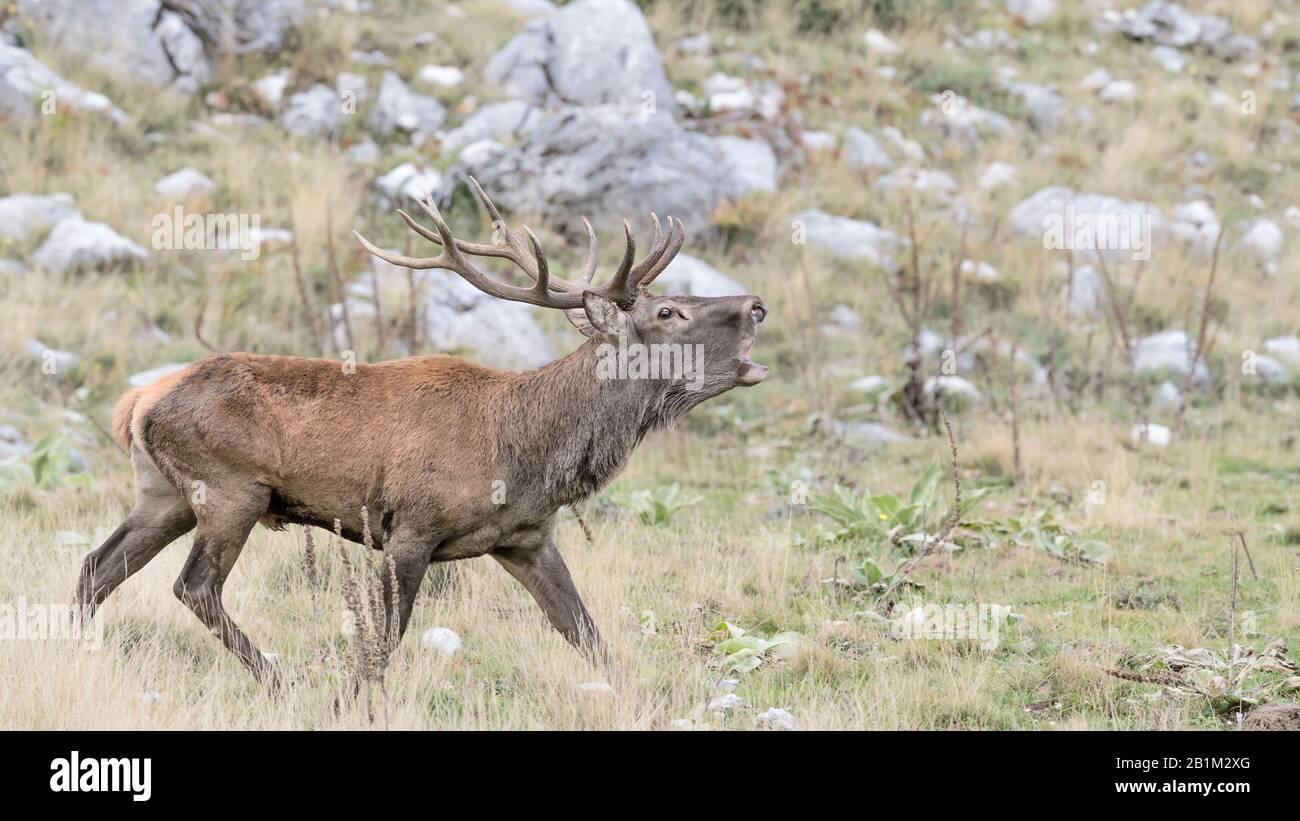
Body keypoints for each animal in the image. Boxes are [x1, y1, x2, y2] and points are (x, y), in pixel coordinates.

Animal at [74, 179, 768, 688]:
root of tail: (137, 401)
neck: (528, 454)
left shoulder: (527, 540)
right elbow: (381, 646)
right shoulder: (408, 530)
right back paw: (278, 682)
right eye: (669, 312)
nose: (756, 304)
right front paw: (351, 700)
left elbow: (588, 636)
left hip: (162, 495)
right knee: (193, 587)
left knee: (94, 569)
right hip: (229, 491)